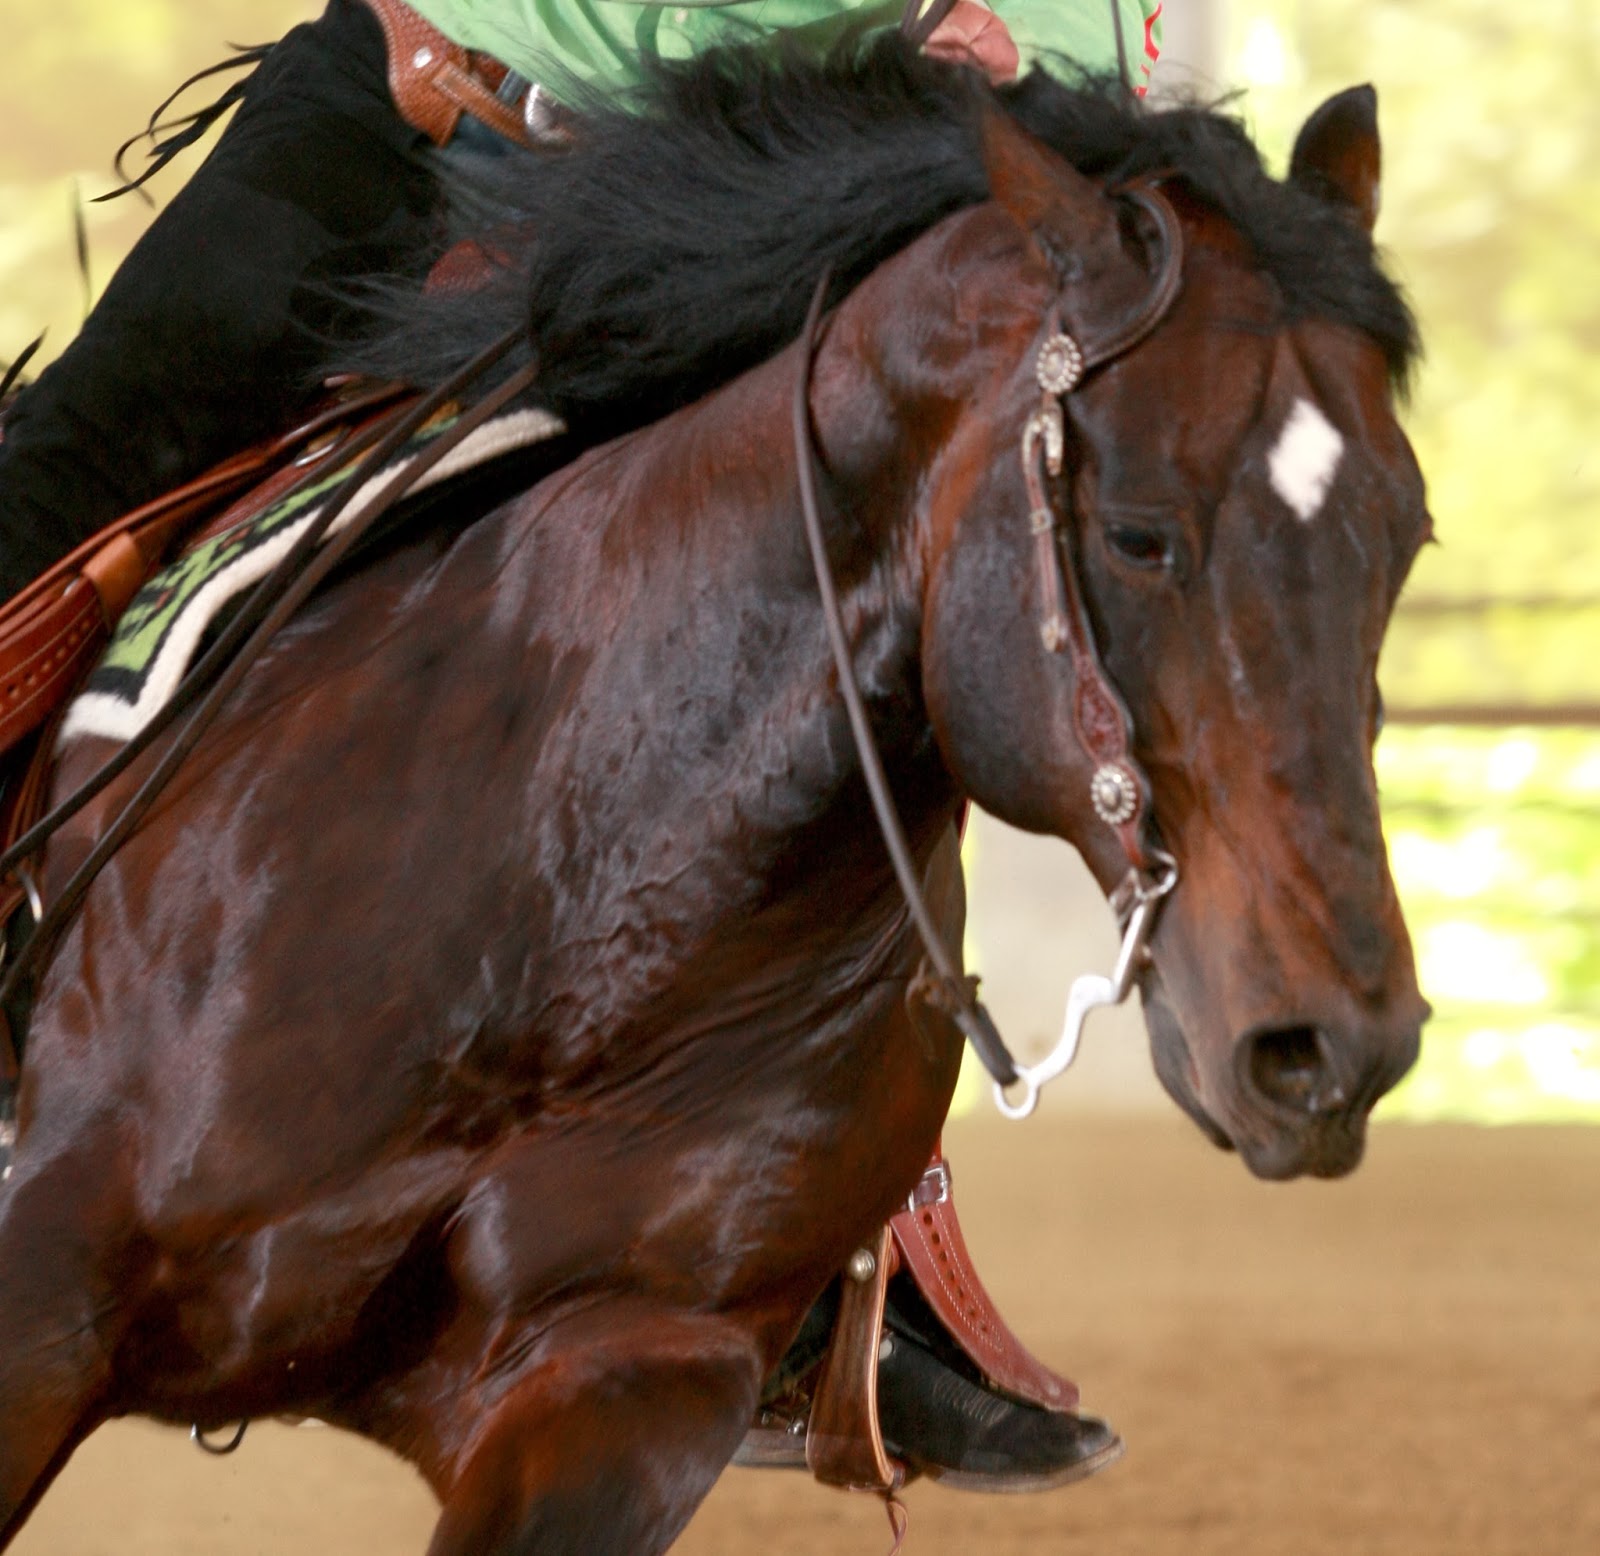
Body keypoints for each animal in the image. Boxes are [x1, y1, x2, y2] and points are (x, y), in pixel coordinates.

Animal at [0, 39, 1430, 1555]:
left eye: (1404, 535)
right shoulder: (49, 1283)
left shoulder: (628, 1382)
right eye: (1139, 533)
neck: (578, 891)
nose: (1332, 1043)